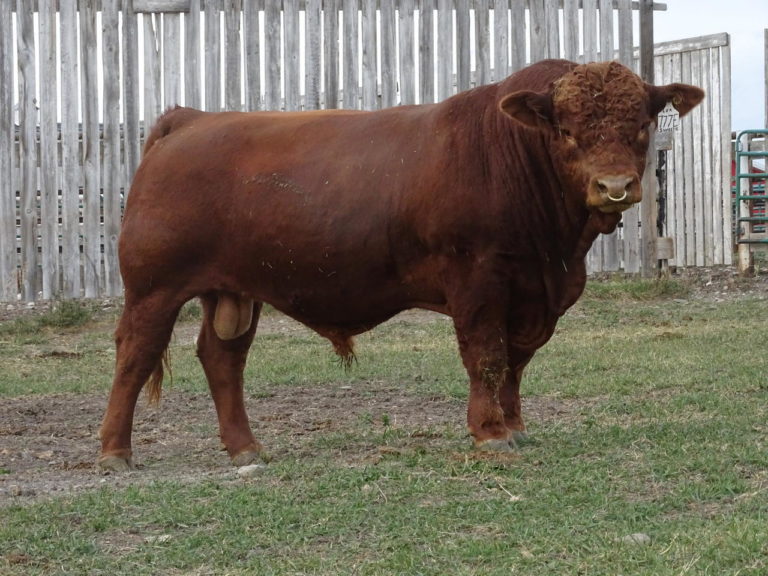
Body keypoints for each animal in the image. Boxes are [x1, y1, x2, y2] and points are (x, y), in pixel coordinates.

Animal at [97, 59, 703, 471]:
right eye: (567, 130)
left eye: (642, 126)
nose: (614, 187)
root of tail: (190, 120)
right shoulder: (478, 280)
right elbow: (486, 357)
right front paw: (490, 432)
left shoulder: (532, 293)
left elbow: (514, 363)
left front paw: (515, 425)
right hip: (153, 288)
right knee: (135, 353)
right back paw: (114, 452)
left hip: (235, 290)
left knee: (222, 357)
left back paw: (246, 448)